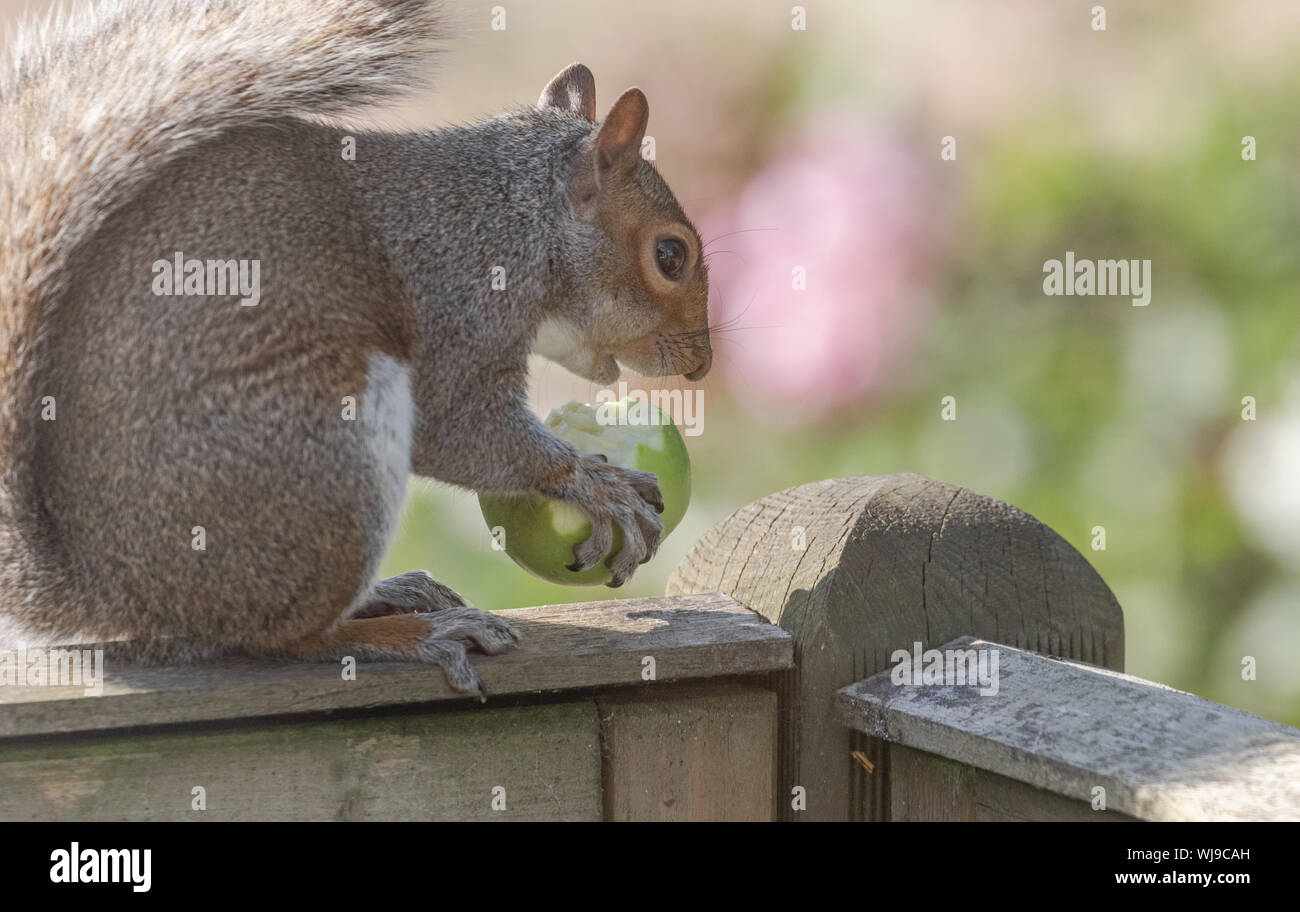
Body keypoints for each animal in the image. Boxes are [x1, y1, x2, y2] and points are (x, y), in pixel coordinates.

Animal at [0, 0, 712, 698]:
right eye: (670, 255)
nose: (701, 364)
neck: (515, 215)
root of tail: (119, 594)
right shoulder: (458, 303)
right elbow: (458, 428)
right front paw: (595, 483)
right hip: (321, 447)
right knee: (283, 638)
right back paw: (414, 634)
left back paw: (391, 594)